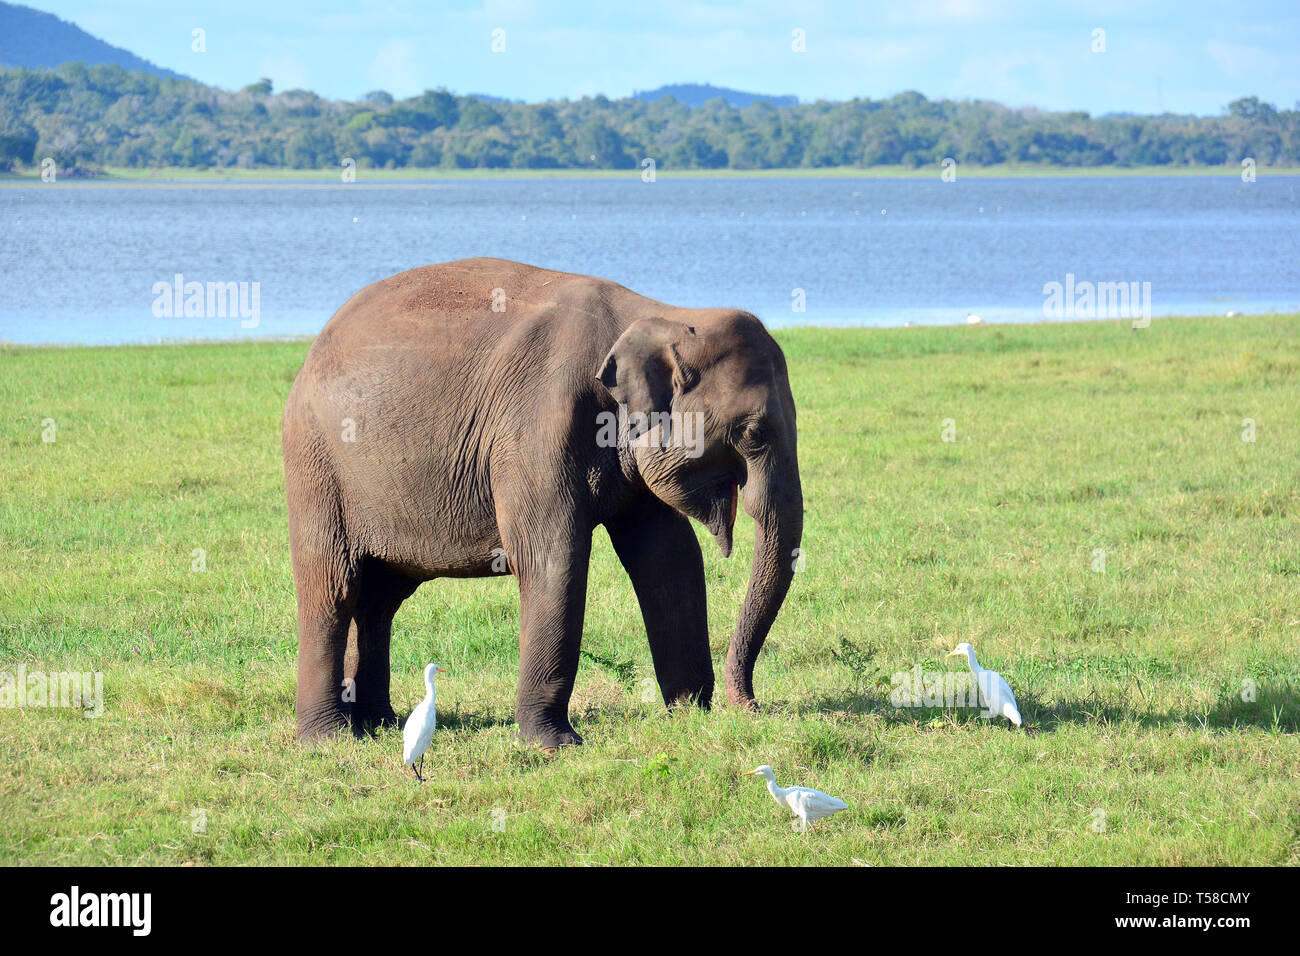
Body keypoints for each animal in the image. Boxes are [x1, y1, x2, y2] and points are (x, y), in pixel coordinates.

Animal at [282, 258, 803, 748]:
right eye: (752, 433)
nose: (751, 707)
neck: (666, 315)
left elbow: (669, 557)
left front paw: (689, 714)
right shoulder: (539, 424)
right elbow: (553, 558)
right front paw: (555, 745)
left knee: (379, 598)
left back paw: (379, 723)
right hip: (317, 469)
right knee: (333, 588)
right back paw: (327, 738)